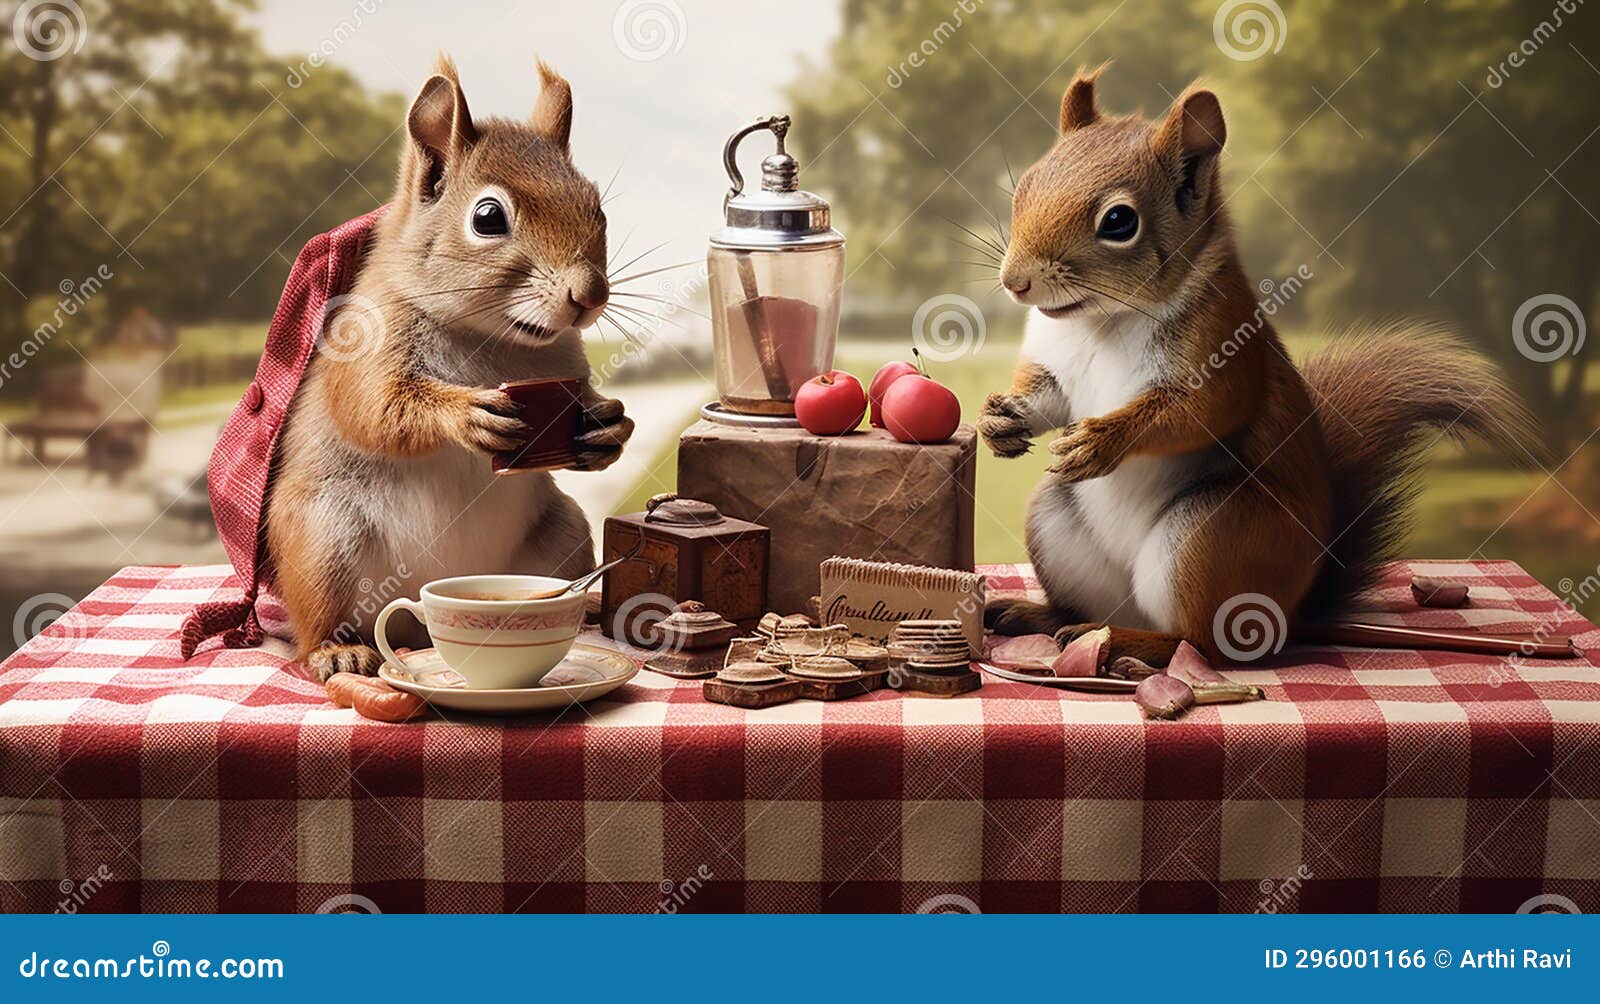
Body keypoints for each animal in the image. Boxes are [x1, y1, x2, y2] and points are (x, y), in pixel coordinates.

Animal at [267, 55, 633, 681]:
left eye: (598, 208)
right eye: (487, 217)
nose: (590, 295)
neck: (495, 339)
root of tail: (414, 610)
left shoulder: (569, 370)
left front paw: (608, 426)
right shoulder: (362, 344)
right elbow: (376, 409)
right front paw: (466, 414)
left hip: (563, 534)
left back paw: (586, 613)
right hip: (321, 540)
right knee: (316, 618)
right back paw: (336, 651)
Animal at [978, 66, 1538, 665]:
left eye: (1120, 221)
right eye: (1025, 184)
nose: (1015, 281)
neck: (1102, 321)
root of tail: (1291, 615)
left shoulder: (1225, 349)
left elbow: (1197, 412)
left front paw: (1101, 440)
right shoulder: (1054, 364)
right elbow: (1047, 396)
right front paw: (1000, 418)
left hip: (1212, 538)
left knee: (1199, 641)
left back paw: (1126, 644)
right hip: (1057, 525)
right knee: (1099, 608)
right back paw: (1039, 615)